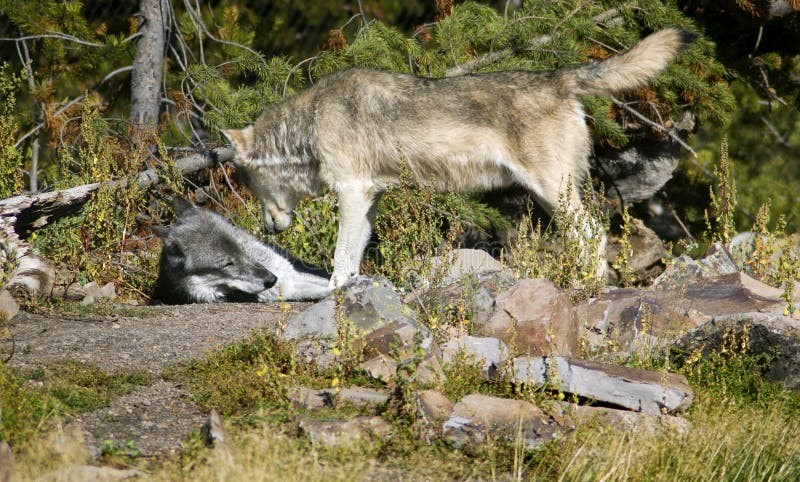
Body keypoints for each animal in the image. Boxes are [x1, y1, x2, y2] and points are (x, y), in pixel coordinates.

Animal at [150, 198, 331, 304]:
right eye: (227, 264)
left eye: (241, 248)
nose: (272, 279)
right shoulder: (289, 287)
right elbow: (331, 288)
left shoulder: (293, 273)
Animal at [222, 28, 695, 287]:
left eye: (248, 185)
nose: (268, 229)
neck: (313, 120)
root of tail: (559, 76)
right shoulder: (369, 196)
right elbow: (354, 254)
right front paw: (347, 289)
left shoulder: (351, 192)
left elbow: (340, 256)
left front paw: (335, 288)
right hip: (549, 195)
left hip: (551, 191)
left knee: (592, 233)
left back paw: (588, 287)